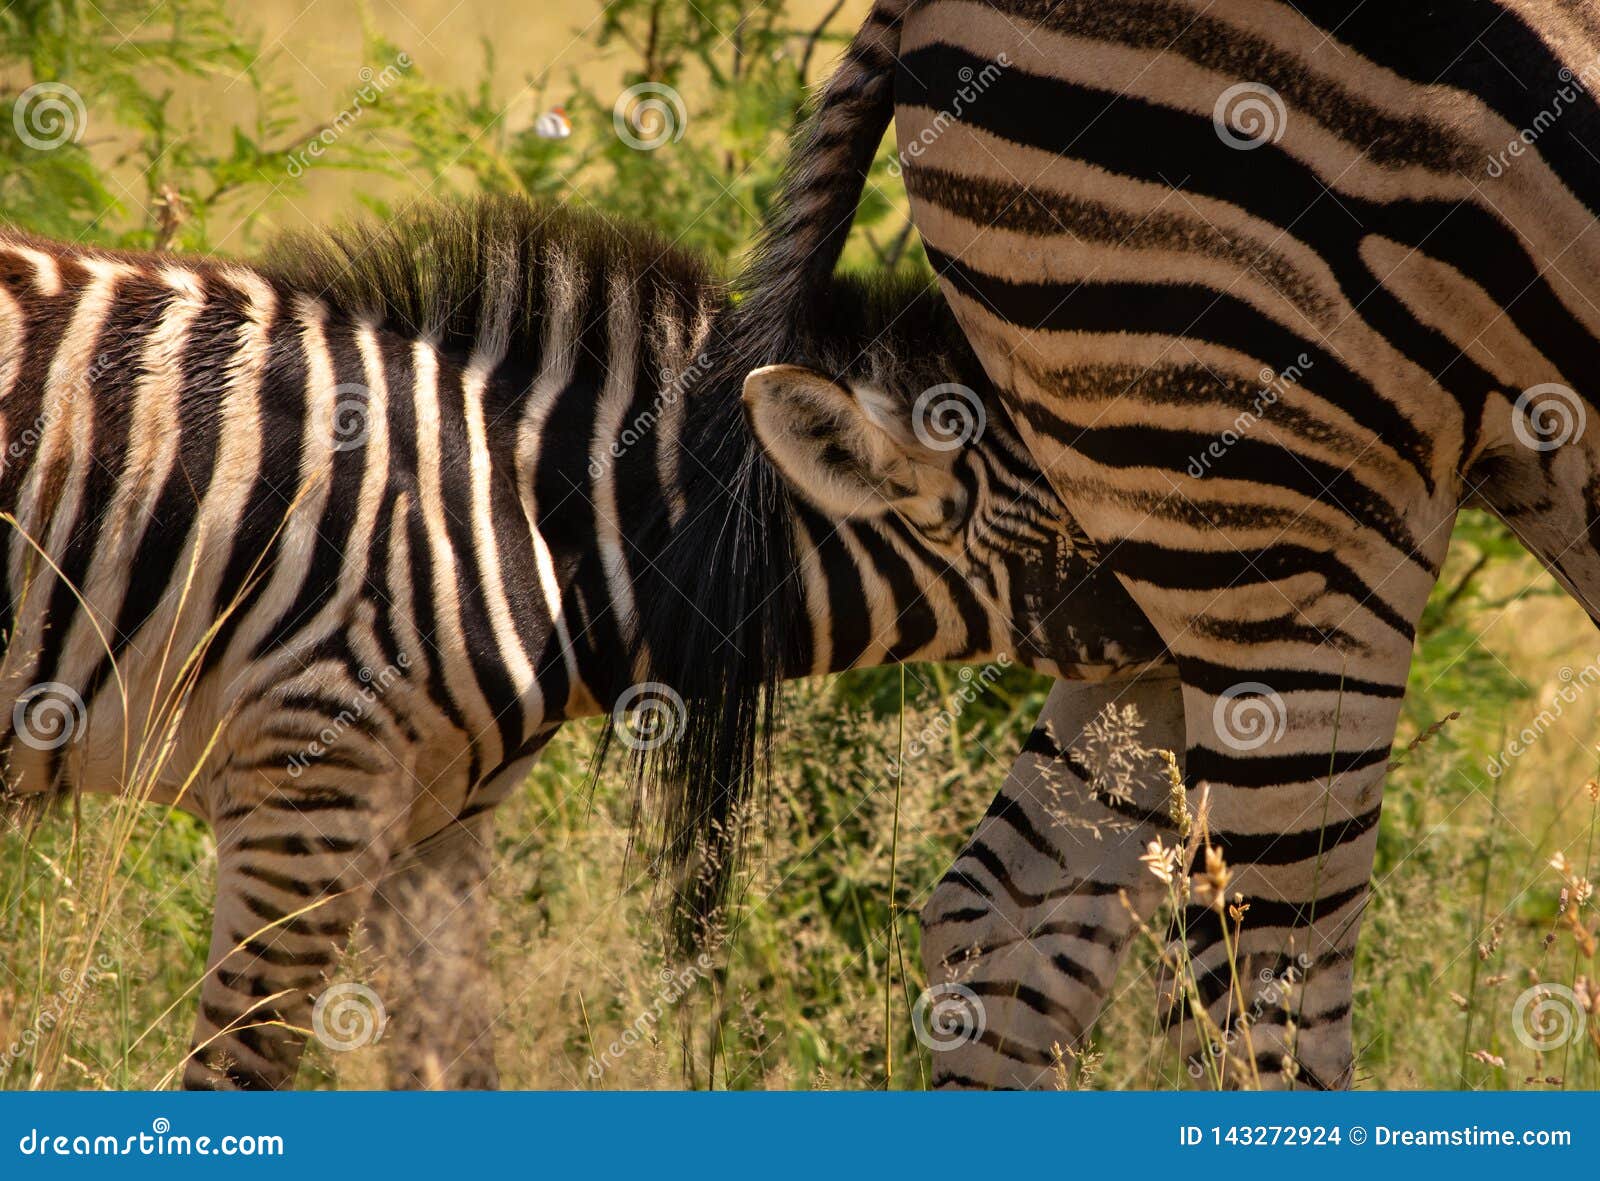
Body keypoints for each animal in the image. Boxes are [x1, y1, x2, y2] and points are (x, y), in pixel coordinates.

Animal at [0, 196, 1170, 1089]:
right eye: (1105, 500)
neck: (535, 524)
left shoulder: (428, 823)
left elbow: (454, 1065)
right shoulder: (306, 778)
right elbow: (243, 1067)